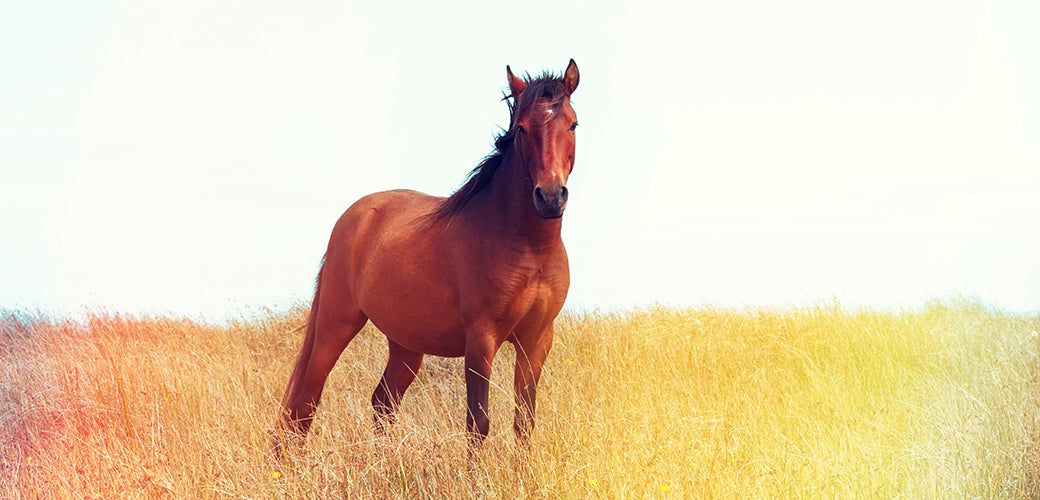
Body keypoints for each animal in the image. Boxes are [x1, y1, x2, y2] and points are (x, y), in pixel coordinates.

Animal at [274, 59, 580, 453]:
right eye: (522, 129)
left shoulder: (536, 340)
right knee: (305, 403)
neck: (526, 245)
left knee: (383, 402)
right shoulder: (481, 341)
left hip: (405, 345)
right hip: (335, 326)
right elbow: (478, 423)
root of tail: (353, 217)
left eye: (572, 124)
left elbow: (523, 424)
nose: (551, 197)